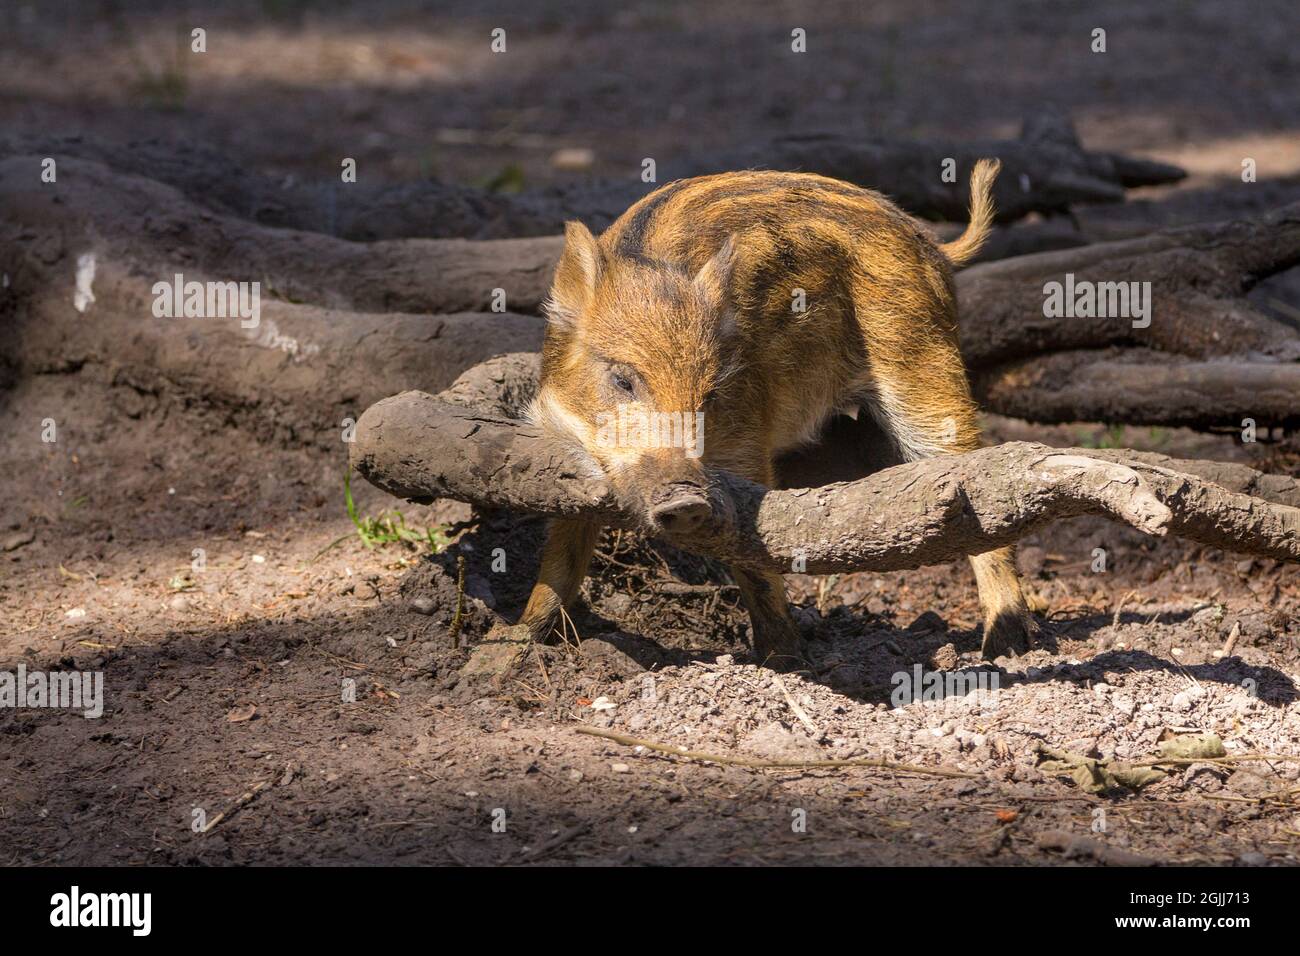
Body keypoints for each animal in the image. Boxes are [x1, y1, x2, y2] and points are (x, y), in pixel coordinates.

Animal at [521, 159, 1034, 668]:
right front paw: (519, 644)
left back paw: (1007, 649)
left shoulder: (746, 445)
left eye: (709, 395)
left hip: (924, 368)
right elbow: (563, 555)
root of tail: (933, 245)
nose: (685, 500)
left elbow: (753, 556)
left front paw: (782, 662)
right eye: (623, 380)